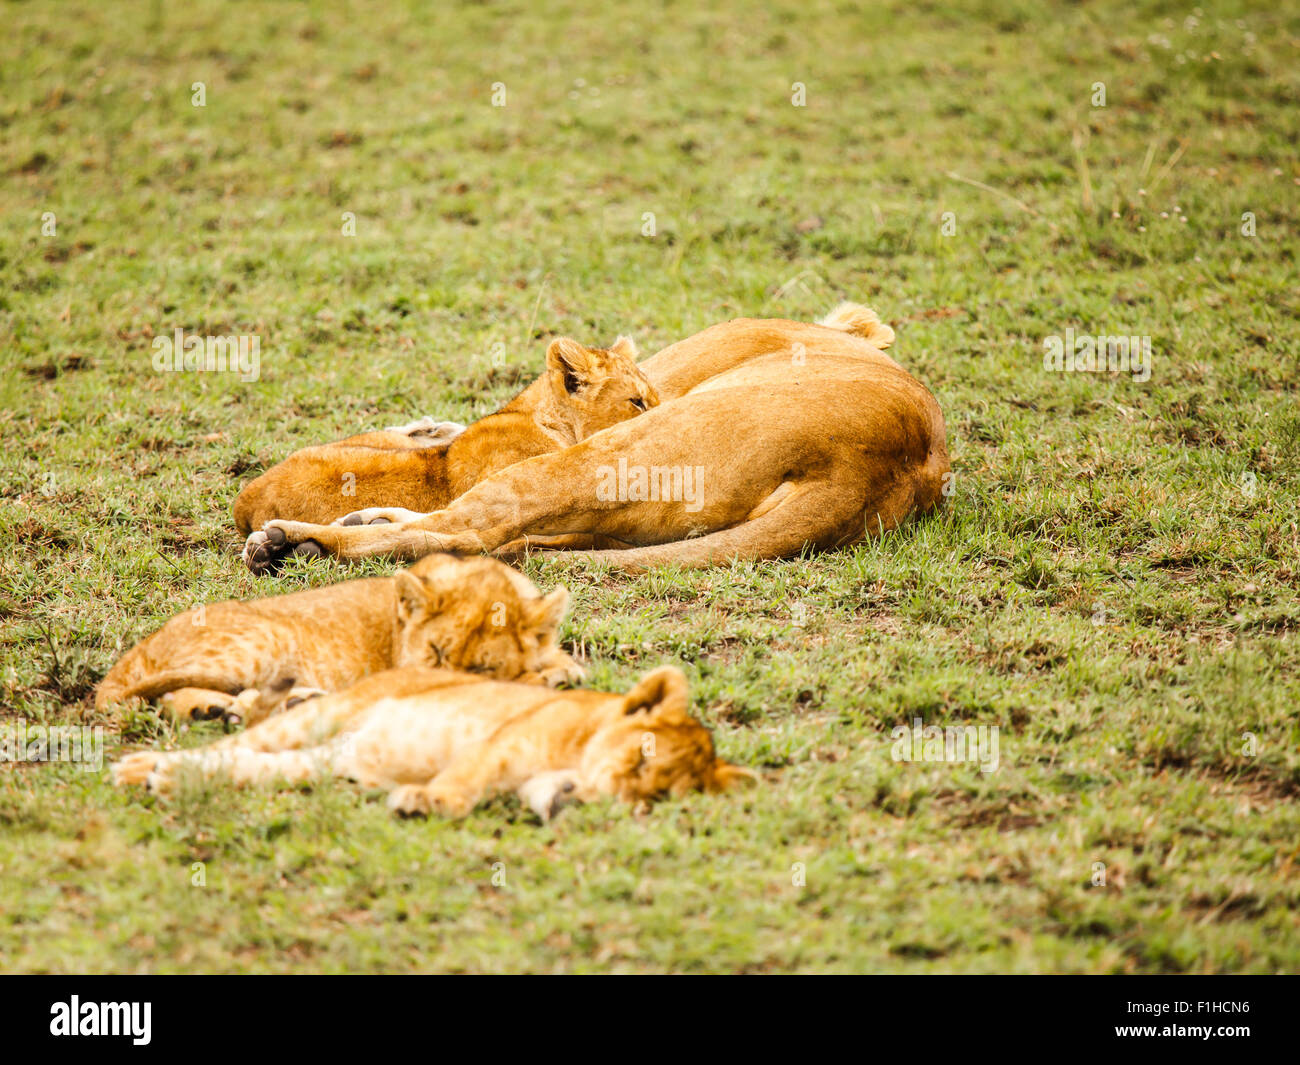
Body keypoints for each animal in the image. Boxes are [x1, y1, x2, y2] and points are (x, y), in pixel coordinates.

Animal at [94, 554, 580, 722]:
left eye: (481, 666)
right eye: (435, 653)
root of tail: (127, 660)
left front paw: (560, 669)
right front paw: (546, 677)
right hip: (261, 642)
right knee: (168, 692)